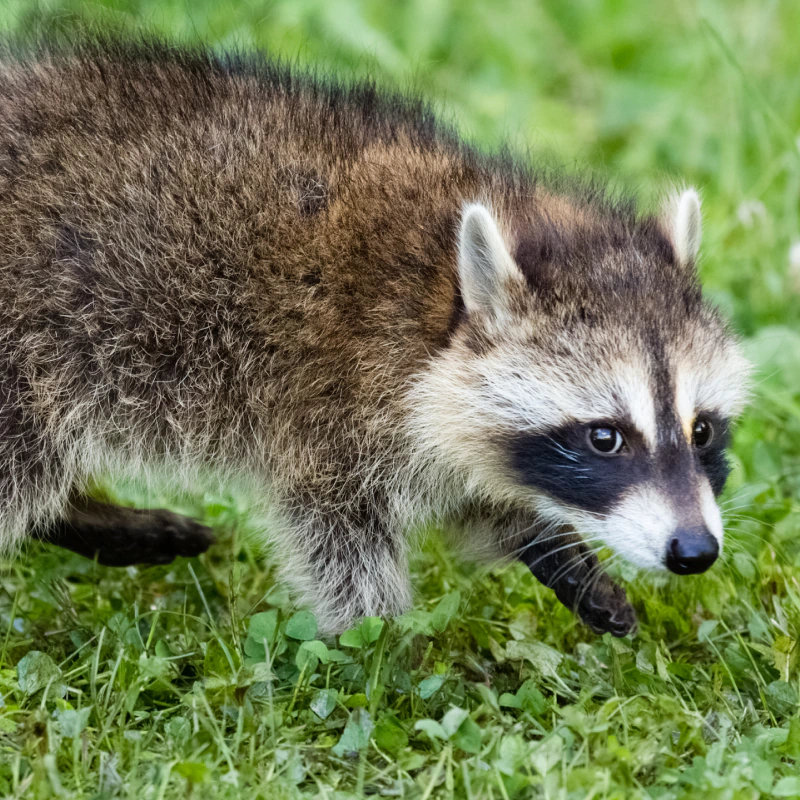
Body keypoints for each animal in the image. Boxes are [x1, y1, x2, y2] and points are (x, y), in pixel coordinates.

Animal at [0, 40, 749, 636]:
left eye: (703, 430)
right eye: (604, 436)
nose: (694, 551)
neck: (436, 293)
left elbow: (479, 494)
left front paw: (560, 554)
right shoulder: (327, 405)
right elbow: (340, 543)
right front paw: (384, 653)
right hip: (24, 354)